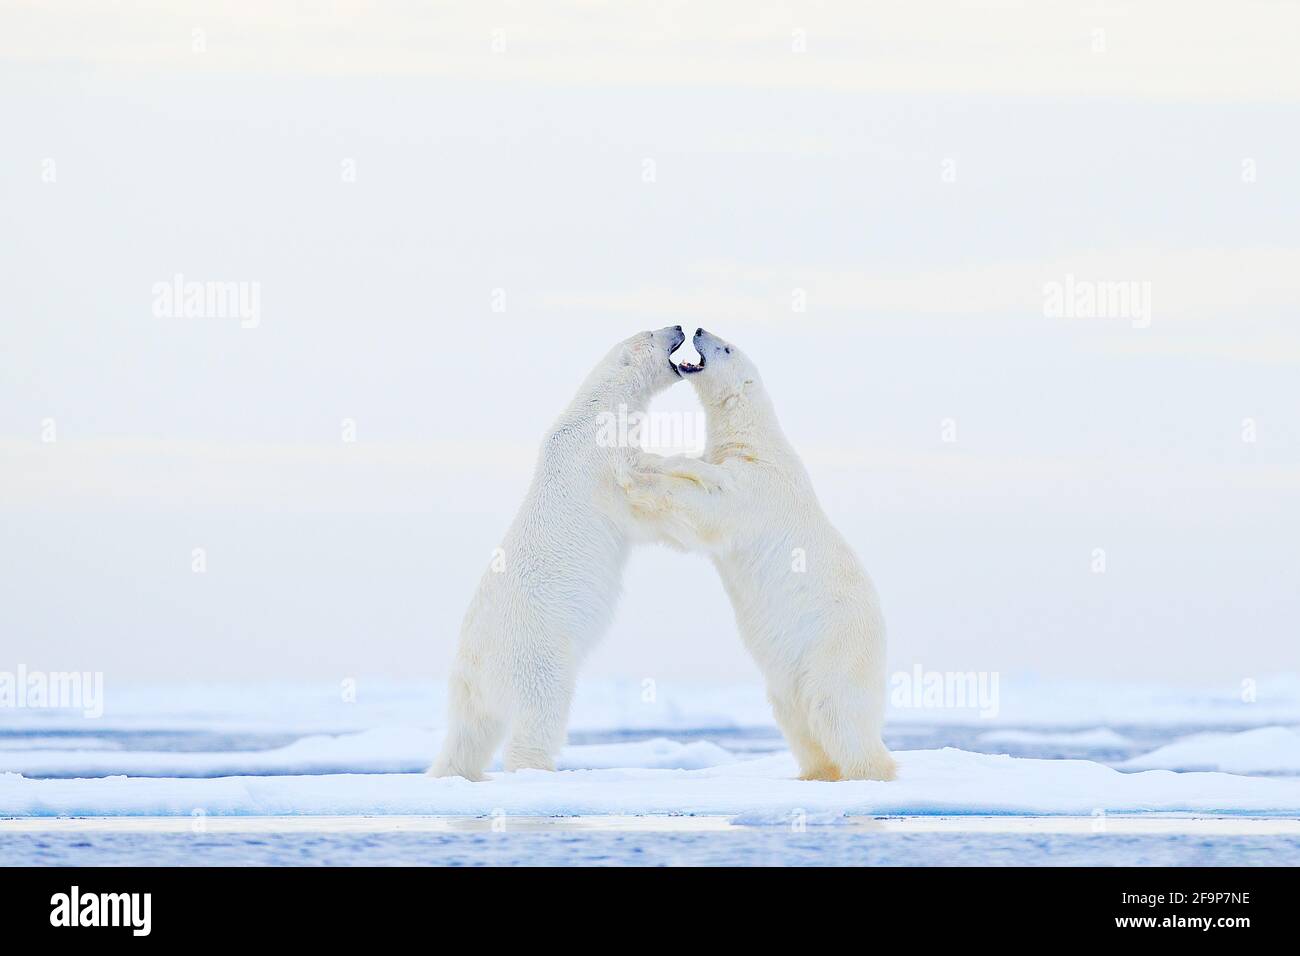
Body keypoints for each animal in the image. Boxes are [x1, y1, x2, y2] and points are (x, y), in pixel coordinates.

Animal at [429, 325, 687, 781]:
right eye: (653, 332)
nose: (678, 326)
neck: (595, 410)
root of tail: (472, 666)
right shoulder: (601, 462)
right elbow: (634, 500)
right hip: (536, 654)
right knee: (540, 711)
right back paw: (536, 770)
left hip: (468, 690)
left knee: (468, 734)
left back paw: (456, 773)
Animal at [622, 328, 896, 782]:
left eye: (726, 347)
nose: (698, 329)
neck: (755, 441)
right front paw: (650, 462)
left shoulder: (758, 485)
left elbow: (711, 509)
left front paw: (639, 481)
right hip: (789, 673)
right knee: (795, 717)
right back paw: (813, 773)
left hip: (835, 645)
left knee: (835, 711)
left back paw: (869, 771)